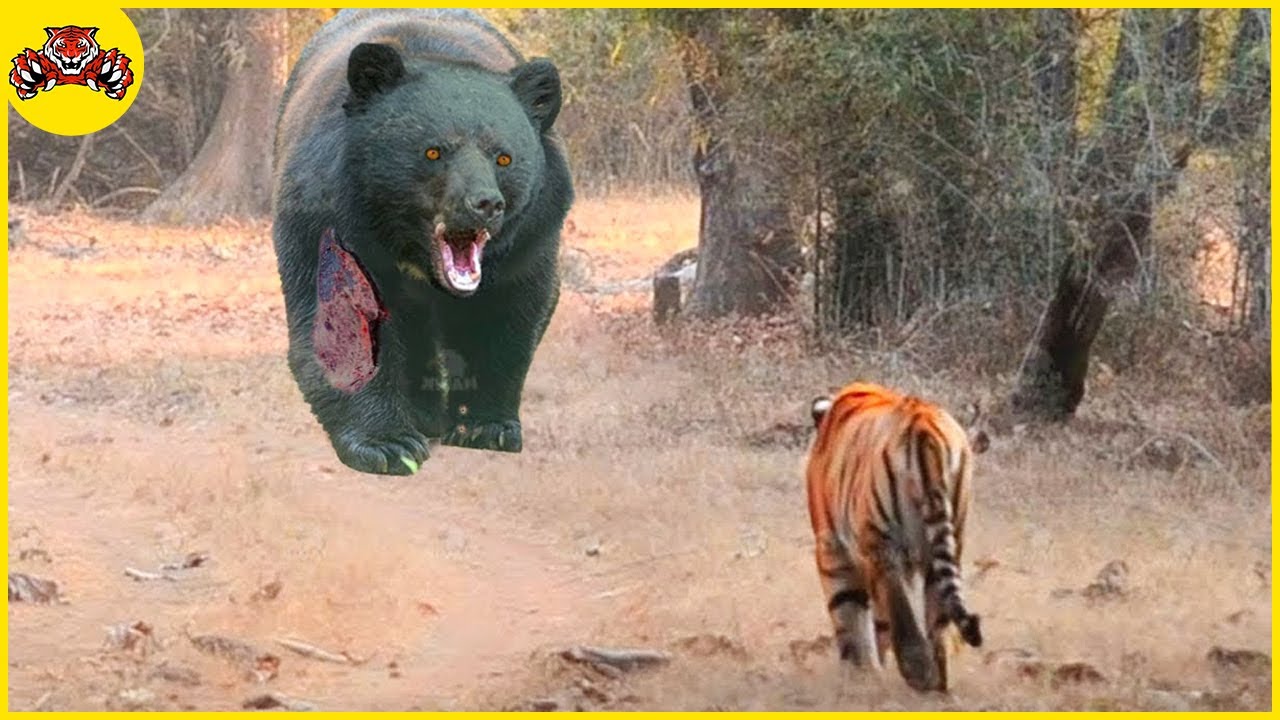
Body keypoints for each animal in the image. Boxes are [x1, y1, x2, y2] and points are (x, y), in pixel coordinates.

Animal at [272, 9, 573, 475]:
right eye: (434, 152)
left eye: (503, 158)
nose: (485, 204)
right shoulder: (325, 213)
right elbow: (341, 316)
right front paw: (388, 445)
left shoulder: (531, 236)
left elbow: (508, 312)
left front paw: (485, 428)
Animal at [805, 381, 988, 692]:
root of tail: (923, 424)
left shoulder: (833, 551)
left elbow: (849, 614)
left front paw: (858, 675)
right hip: (948, 538)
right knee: (937, 620)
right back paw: (938, 685)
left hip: (882, 545)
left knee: (900, 616)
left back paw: (918, 674)